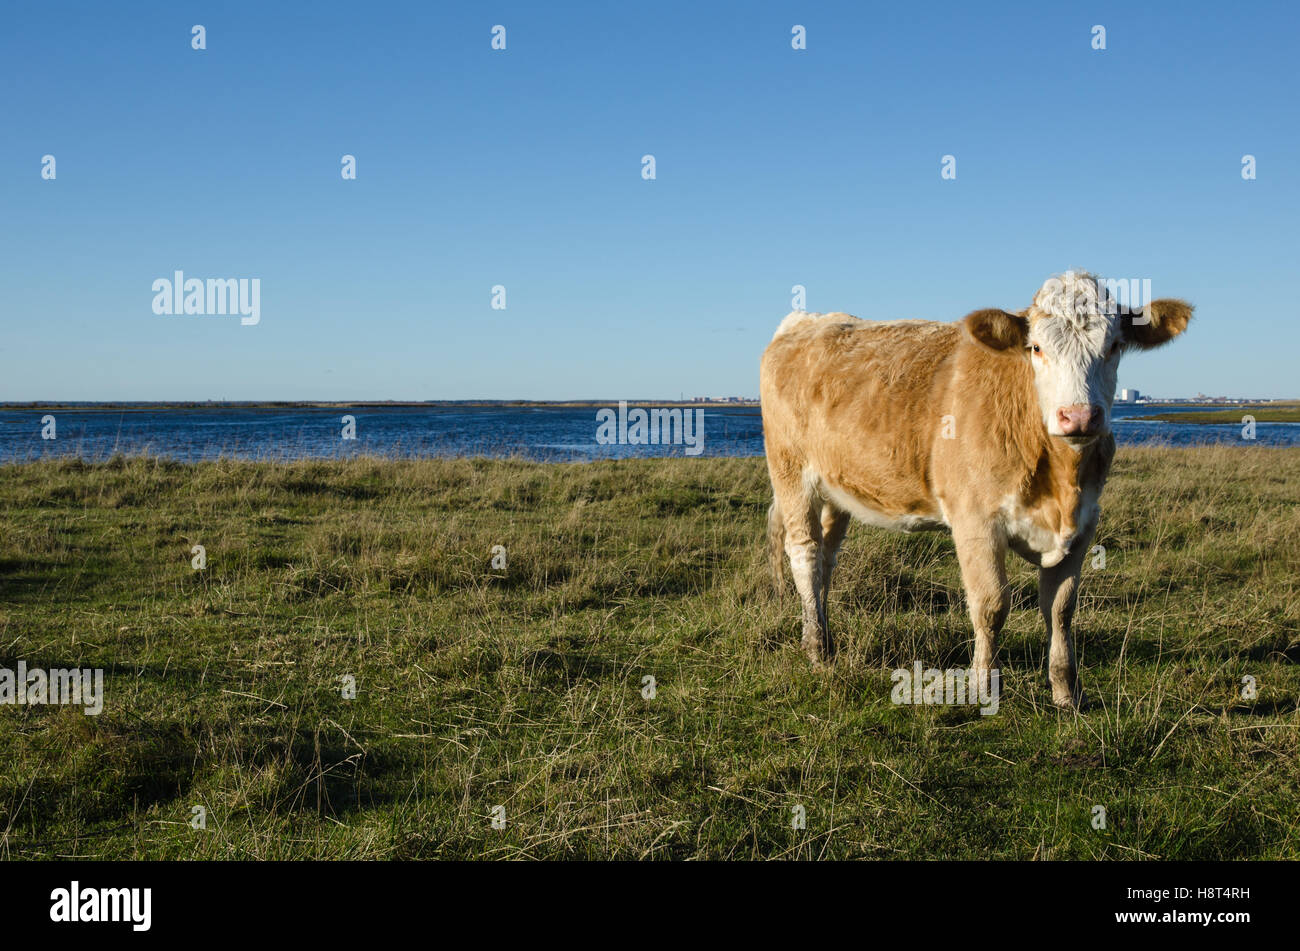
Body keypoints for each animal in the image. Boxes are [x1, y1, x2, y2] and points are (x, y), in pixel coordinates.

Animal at [759, 271, 1192, 708]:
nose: (1079, 417)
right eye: (1036, 347)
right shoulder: (976, 521)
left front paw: (1066, 692)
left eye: (1115, 346)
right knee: (805, 554)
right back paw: (816, 649)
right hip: (791, 472)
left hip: (837, 488)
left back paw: (825, 637)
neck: (1059, 483)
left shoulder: (1084, 525)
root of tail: (807, 321)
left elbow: (1061, 610)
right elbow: (991, 605)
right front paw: (982, 687)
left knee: (827, 559)